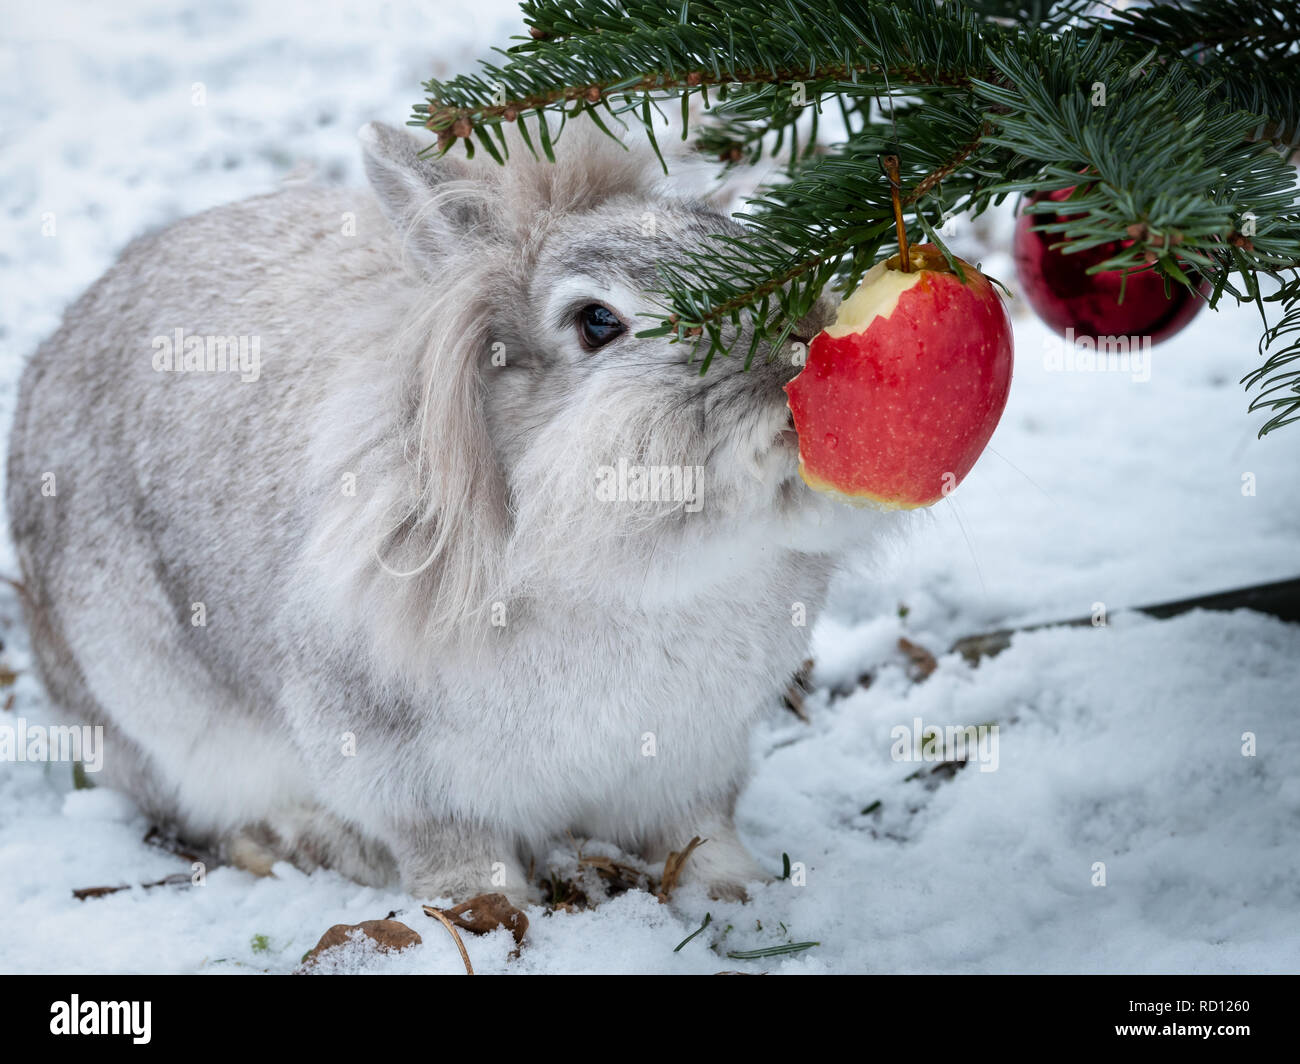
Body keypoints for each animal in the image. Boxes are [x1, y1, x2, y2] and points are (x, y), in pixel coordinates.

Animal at [6, 119, 891, 906]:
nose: (800, 354)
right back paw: (320, 842)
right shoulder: (401, 770)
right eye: (597, 322)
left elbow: (700, 834)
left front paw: (742, 894)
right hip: (164, 719)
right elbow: (454, 850)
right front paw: (487, 910)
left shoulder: (695, 761)